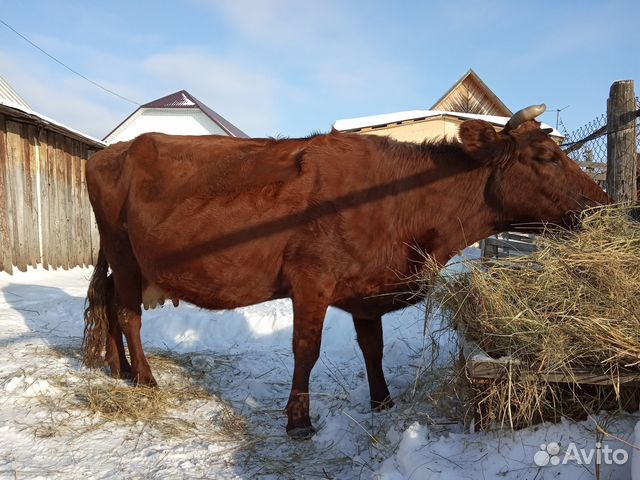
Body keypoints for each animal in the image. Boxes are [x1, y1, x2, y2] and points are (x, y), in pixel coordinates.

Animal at [83, 104, 608, 438]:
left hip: (127, 262)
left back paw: (118, 367)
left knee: (109, 303)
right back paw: (144, 378)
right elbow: (306, 350)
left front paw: (382, 402)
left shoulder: (366, 290)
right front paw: (298, 421)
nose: (602, 204)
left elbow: (372, 348)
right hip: (125, 254)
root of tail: (111, 151)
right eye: (545, 156)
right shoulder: (311, 281)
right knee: (128, 314)